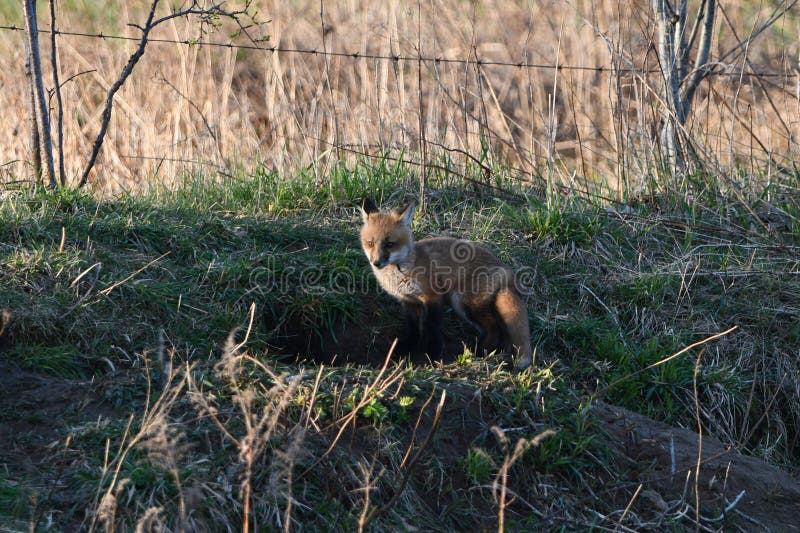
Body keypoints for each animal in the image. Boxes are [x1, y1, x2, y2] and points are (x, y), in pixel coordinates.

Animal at [359, 198, 533, 370]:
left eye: (390, 244)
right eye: (370, 243)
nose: (376, 262)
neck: (404, 270)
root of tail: (507, 270)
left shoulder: (433, 297)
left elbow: (433, 328)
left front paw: (433, 355)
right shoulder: (409, 302)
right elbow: (414, 329)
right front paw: (409, 348)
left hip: (464, 303)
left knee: (494, 327)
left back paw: (480, 352)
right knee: (501, 330)